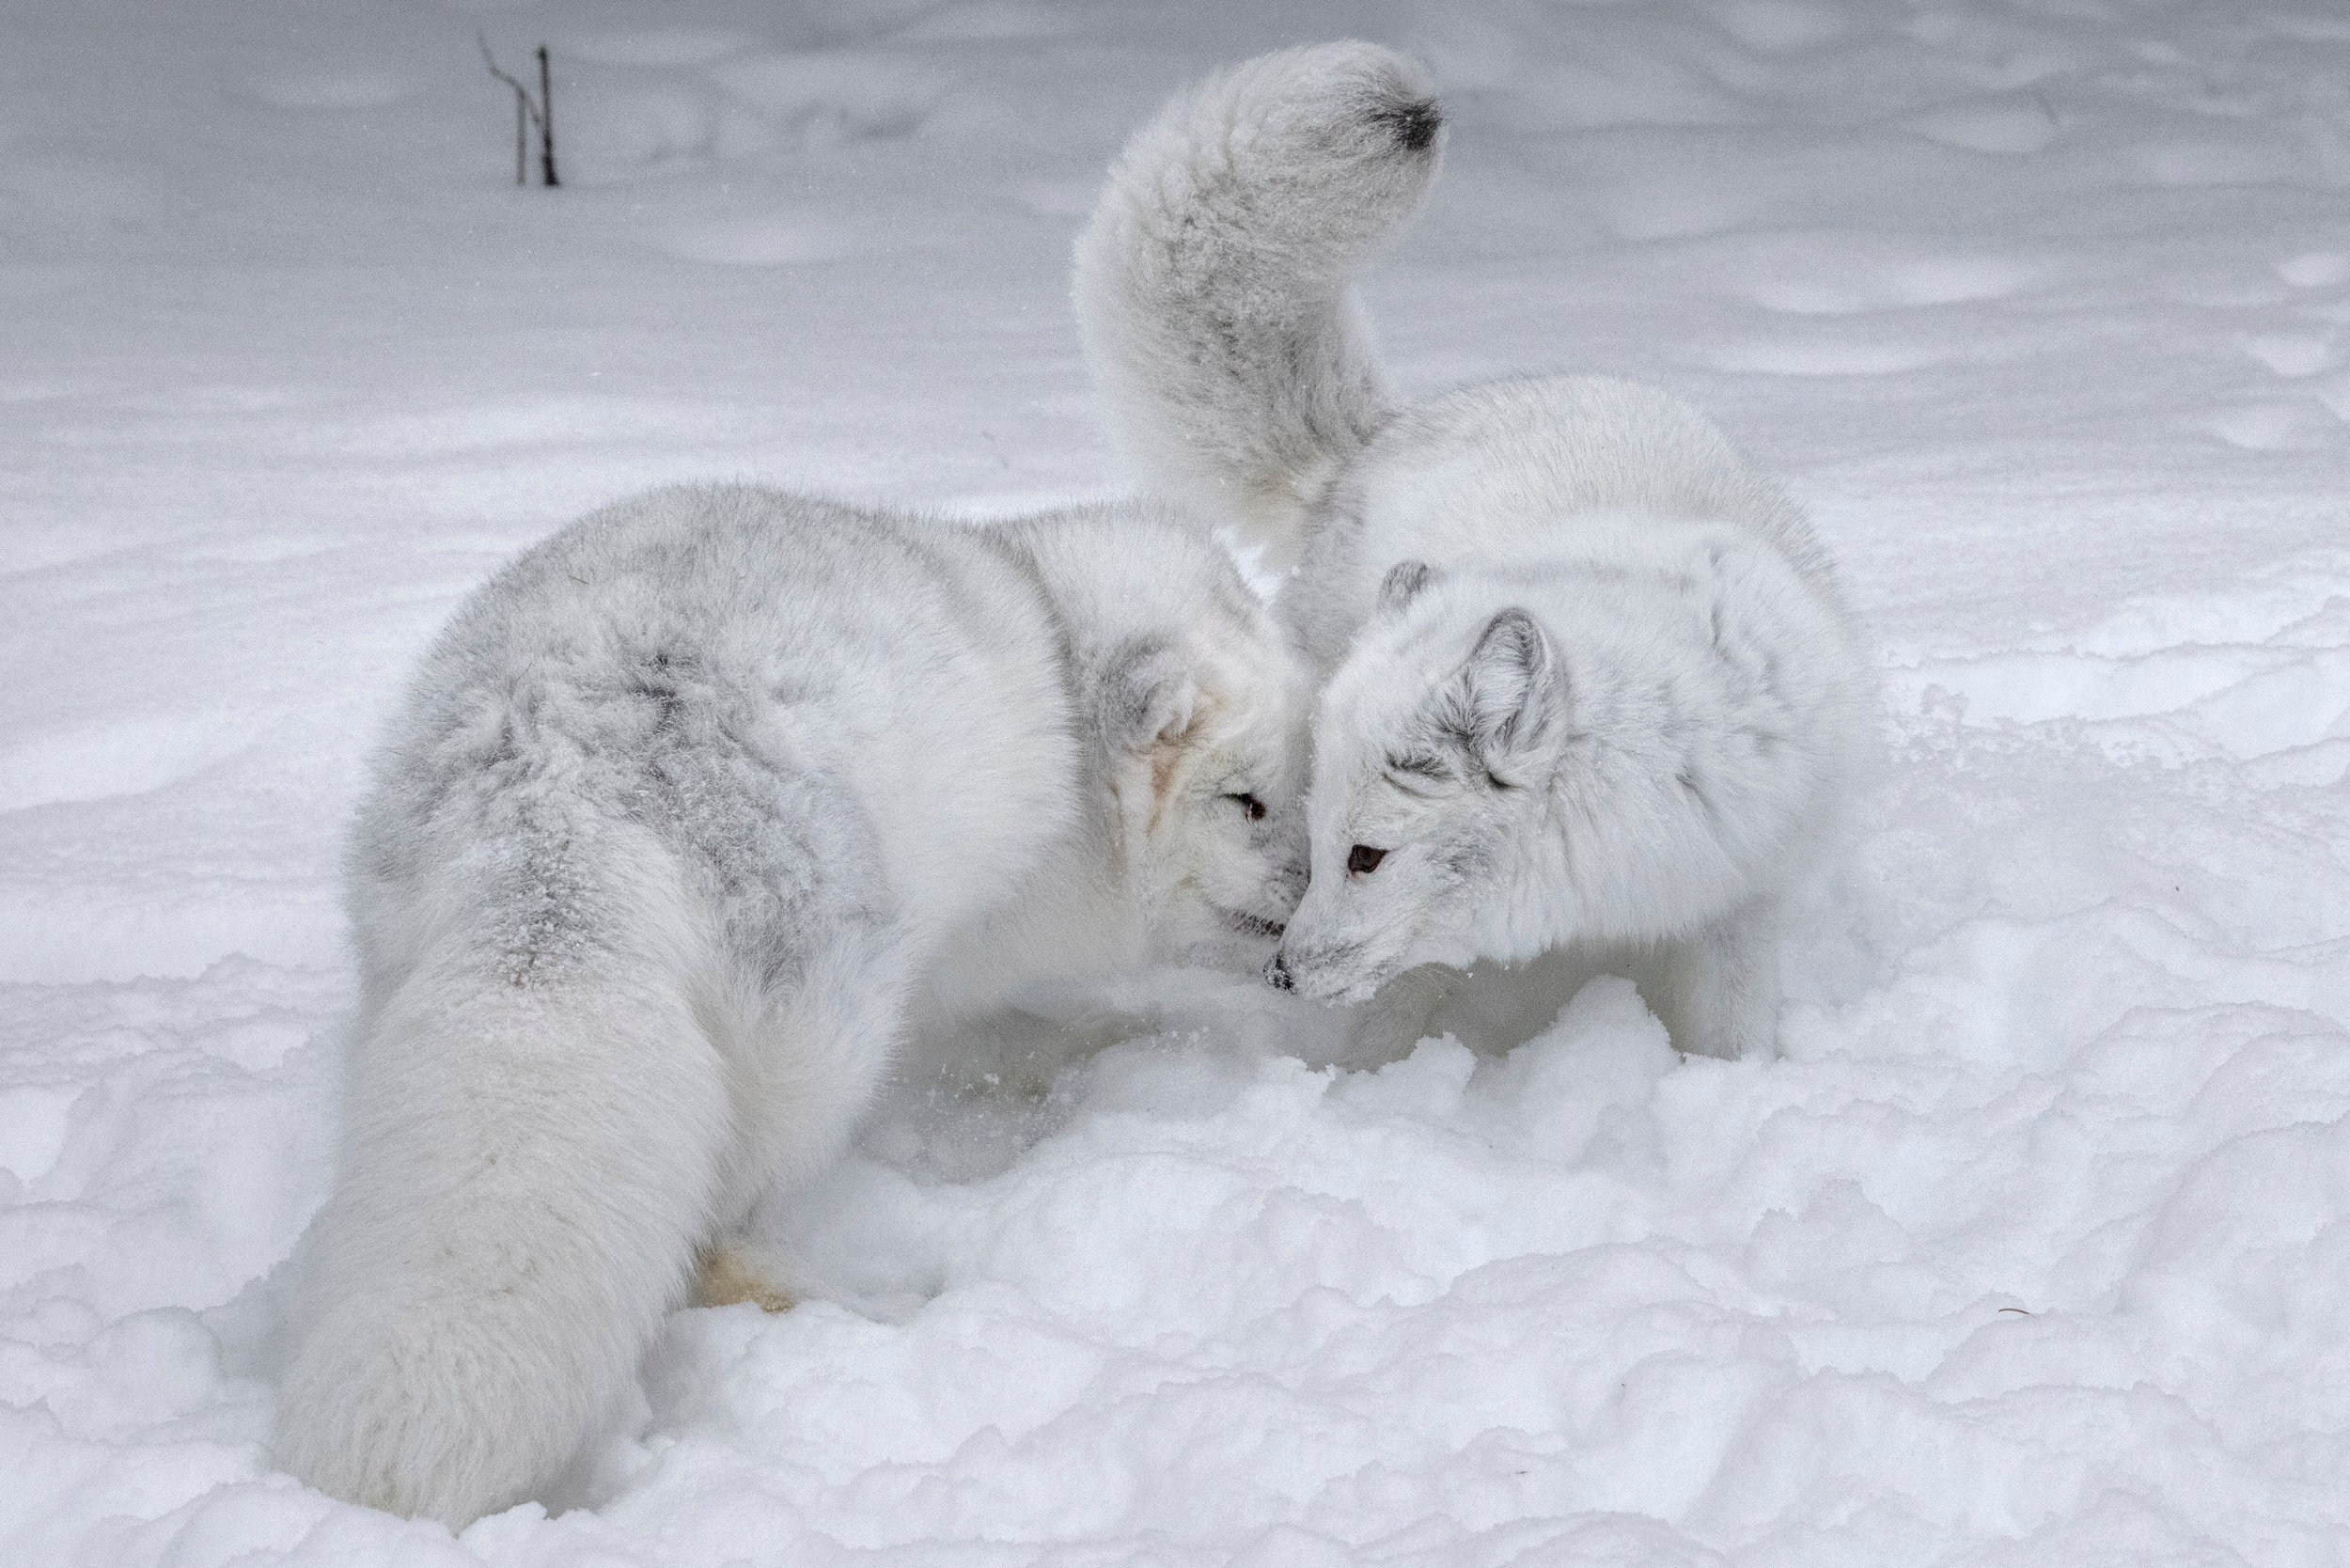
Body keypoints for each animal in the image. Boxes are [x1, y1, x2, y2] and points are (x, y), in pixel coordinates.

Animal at [275, 484, 1311, 1527]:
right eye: (1246, 803)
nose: (1320, 900)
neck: (1055, 646)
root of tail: (565, 789)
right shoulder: (960, 955)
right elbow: (1021, 1038)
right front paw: (1131, 1046)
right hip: (827, 1044)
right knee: (719, 1244)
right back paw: (874, 1313)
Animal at [1075, 42, 1873, 1060]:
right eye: (1322, 843)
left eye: (1367, 856)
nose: (1282, 975)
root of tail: (1386, 432)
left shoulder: (1738, 903)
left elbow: (1730, 1038)